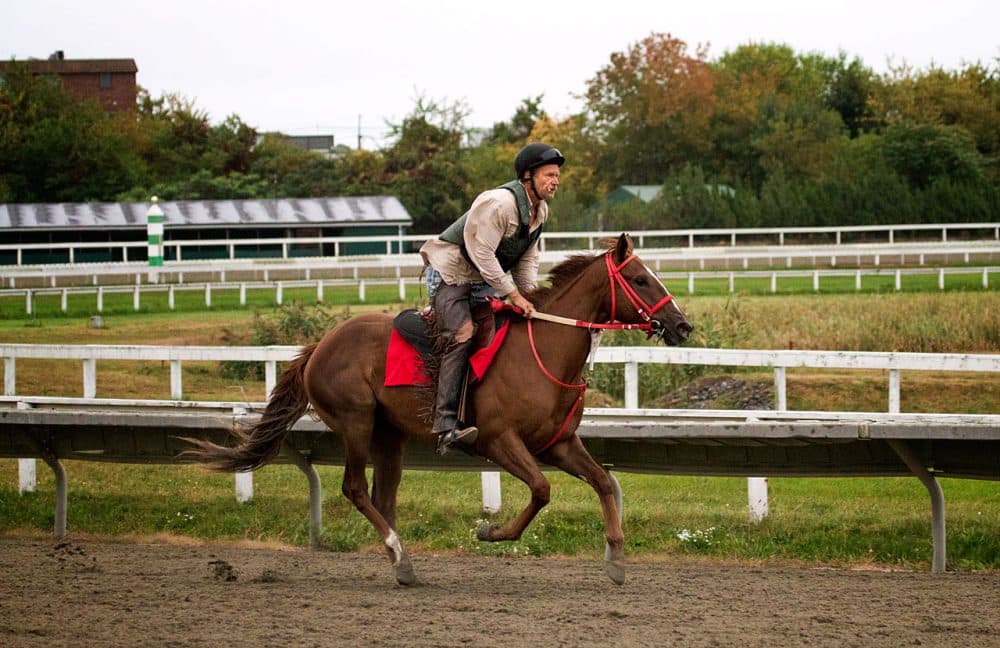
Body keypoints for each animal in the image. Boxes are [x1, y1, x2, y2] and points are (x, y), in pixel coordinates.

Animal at [186, 233, 692, 586]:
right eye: (641, 279)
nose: (682, 325)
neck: (543, 350)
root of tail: (319, 346)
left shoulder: (558, 443)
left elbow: (603, 482)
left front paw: (616, 559)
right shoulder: (497, 440)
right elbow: (542, 490)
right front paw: (491, 533)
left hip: (390, 436)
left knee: (383, 497)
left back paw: (403, 564)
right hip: (355, 421)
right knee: (355, 489)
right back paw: (398, 553)